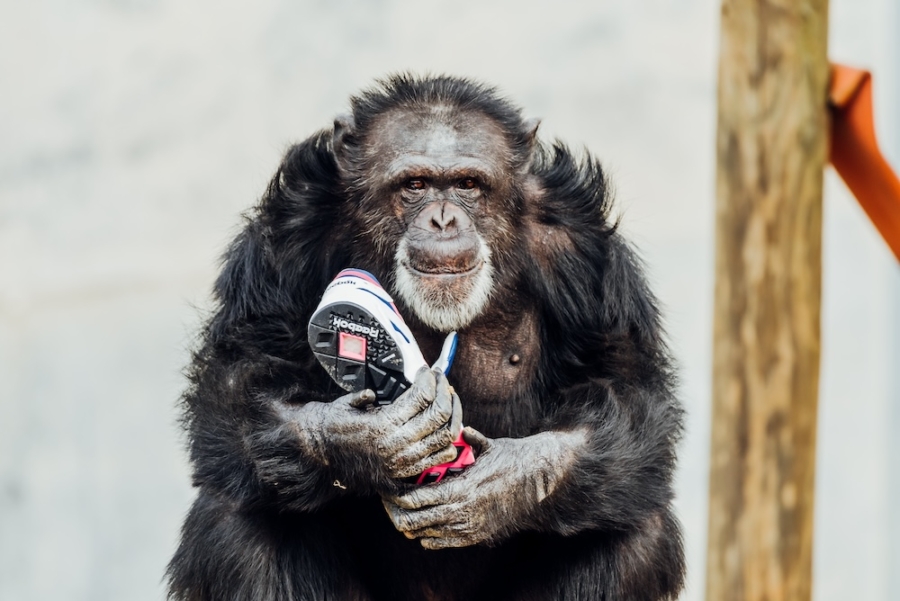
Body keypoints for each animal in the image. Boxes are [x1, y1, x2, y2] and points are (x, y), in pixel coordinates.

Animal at [166, 74, 685, 601]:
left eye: (468, 184)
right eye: (414, 185)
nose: (442, 218)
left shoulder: (585, 247)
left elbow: (620, 377)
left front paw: (503, 484)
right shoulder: (286, 236)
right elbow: (246, 364)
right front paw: (367, 440)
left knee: (630, 528)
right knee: (242, 514)